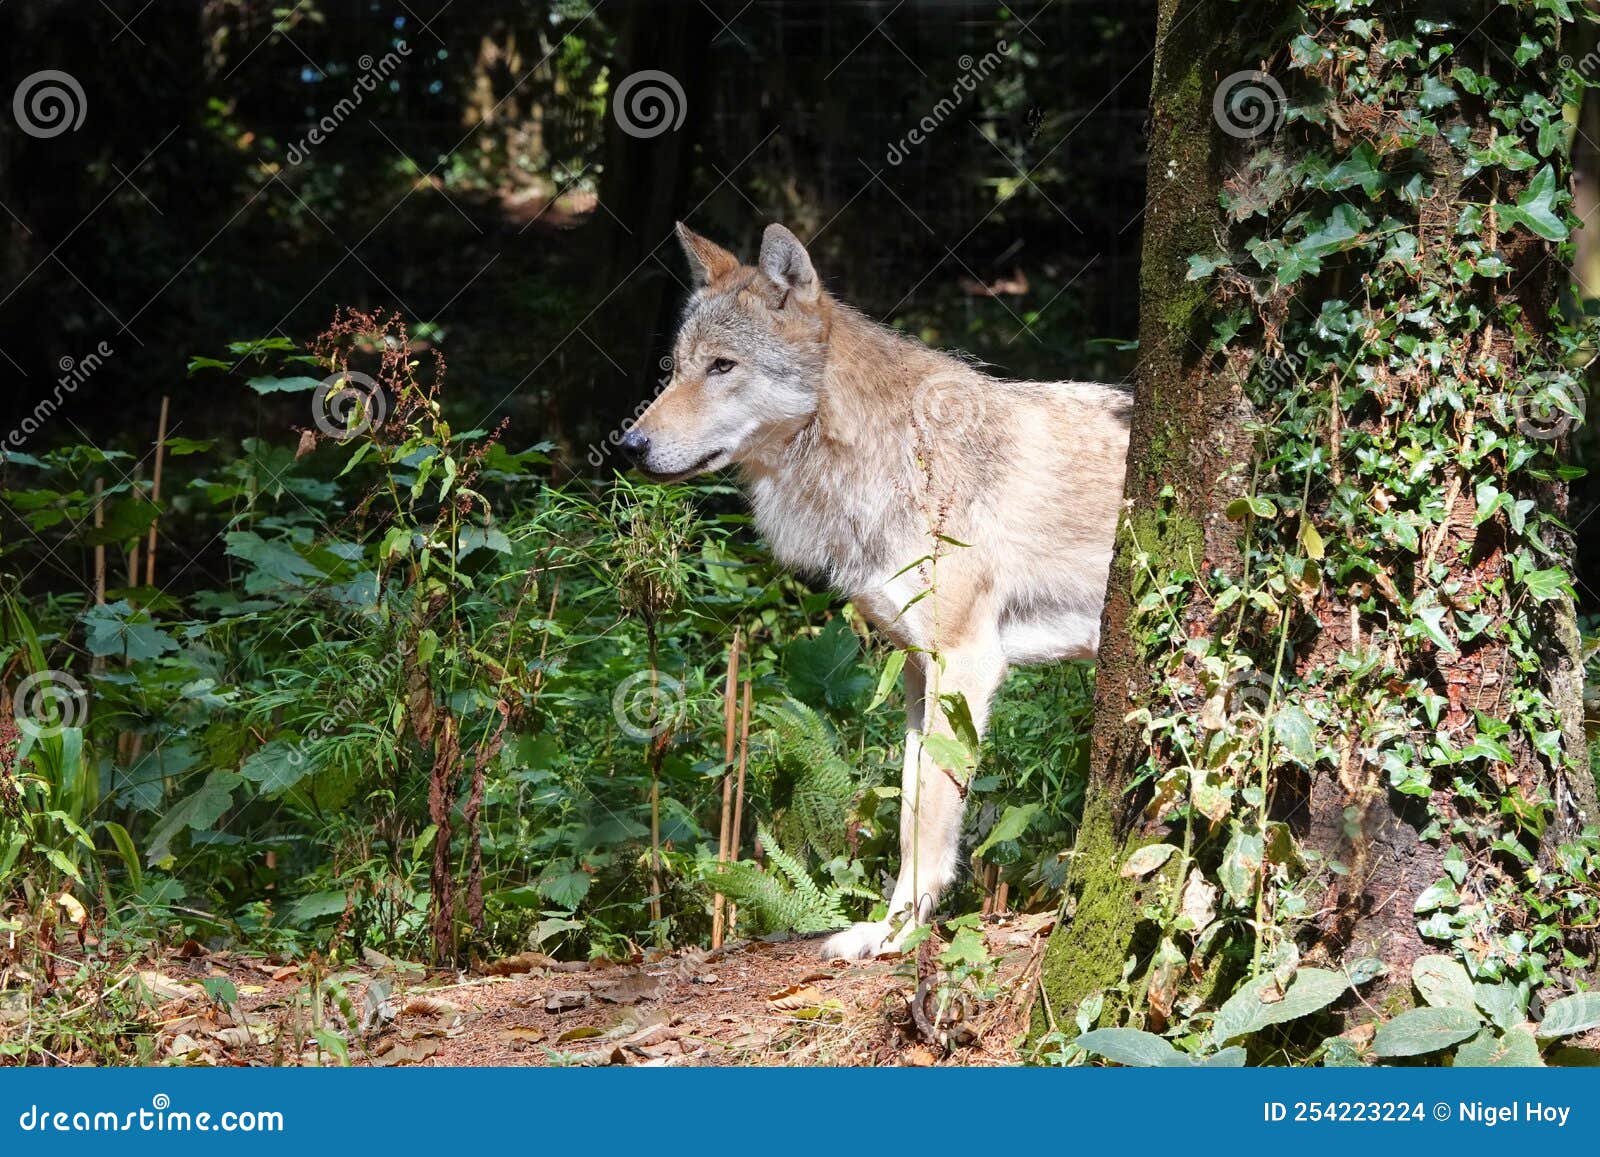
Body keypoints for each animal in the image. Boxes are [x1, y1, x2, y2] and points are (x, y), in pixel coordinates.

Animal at [622, 222, 1130, 960]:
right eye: (677, 368)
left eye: (722, 367)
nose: (628, 444)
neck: (887, 458)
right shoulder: (918, 672)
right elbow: (911, 807)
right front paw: (885, 926)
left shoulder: (966, 663)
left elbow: (933, 817)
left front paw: (900, 934)